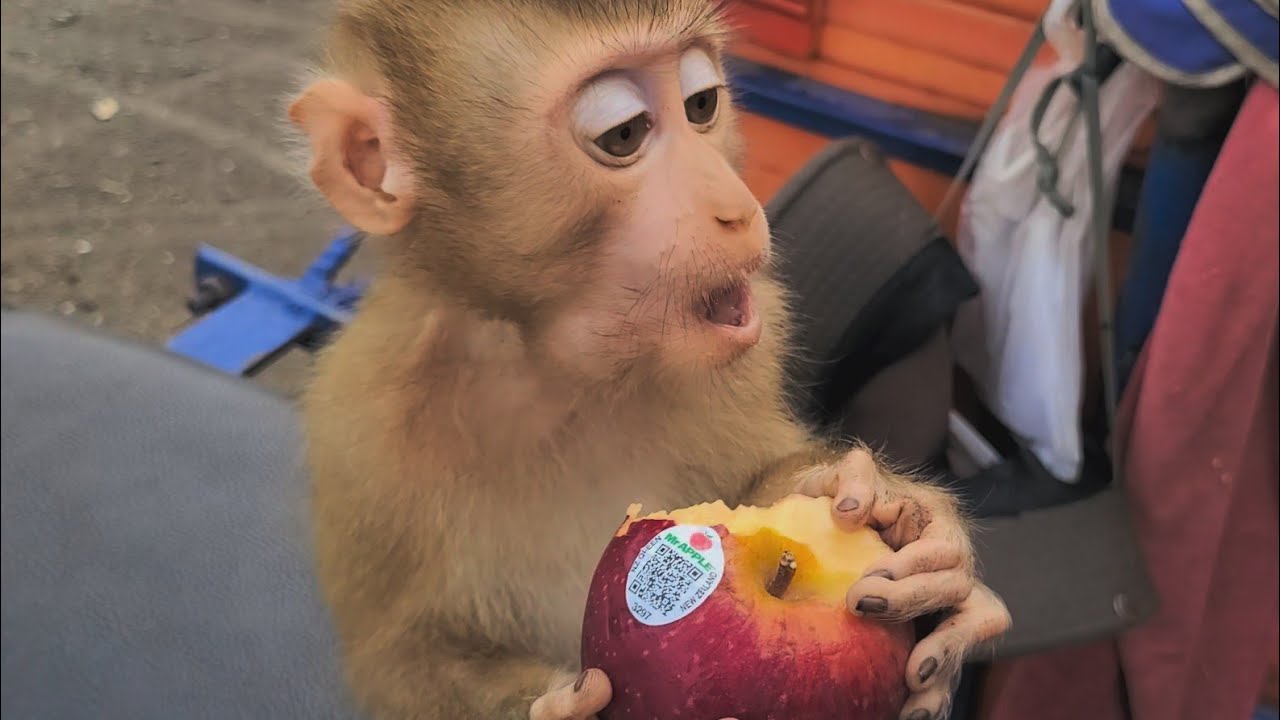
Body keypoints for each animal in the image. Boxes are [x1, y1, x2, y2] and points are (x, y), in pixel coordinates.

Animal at [289, 2, 1011, 719]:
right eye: (623, 134)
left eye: (702, 105)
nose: (739, 210)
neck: (563, 376)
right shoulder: (361, 435)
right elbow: (401, 659)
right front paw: (560, 705)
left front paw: (900, 513)